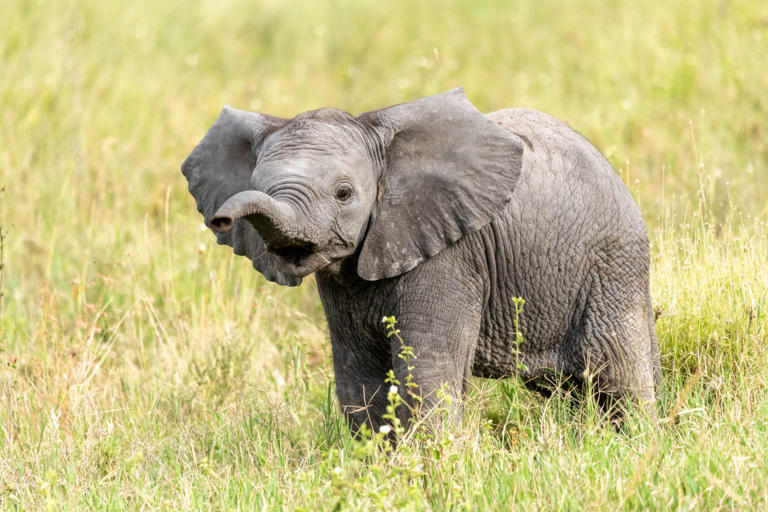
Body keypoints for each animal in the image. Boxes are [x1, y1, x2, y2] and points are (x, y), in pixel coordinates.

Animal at [182, 87, 660, 432]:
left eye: (344, 193)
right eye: (257, 186)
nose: (222, 218)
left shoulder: (452, 256)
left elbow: (426, 374)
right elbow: (360, 380)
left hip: (612, 269)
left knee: (618, 378)